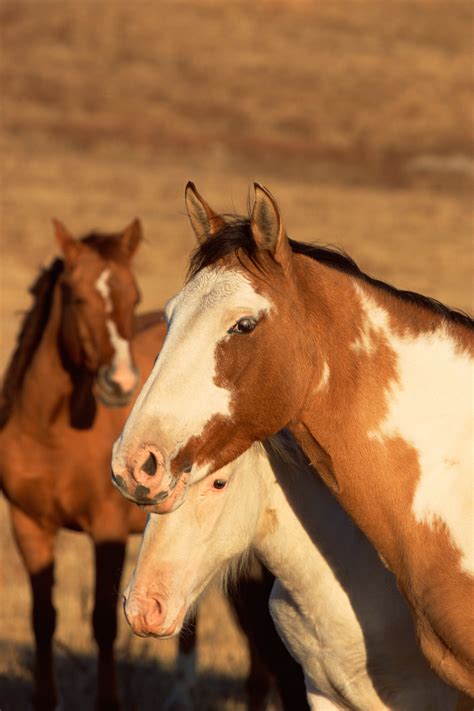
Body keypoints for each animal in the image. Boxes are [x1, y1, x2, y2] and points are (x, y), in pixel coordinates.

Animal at [0, 220, 307, 710]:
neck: (49, 434)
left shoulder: (106, 530)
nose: (120, 382)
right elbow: (42, 617)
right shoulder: (27, 524)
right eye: (77, 297)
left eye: (134, 297)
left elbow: (103, 621)